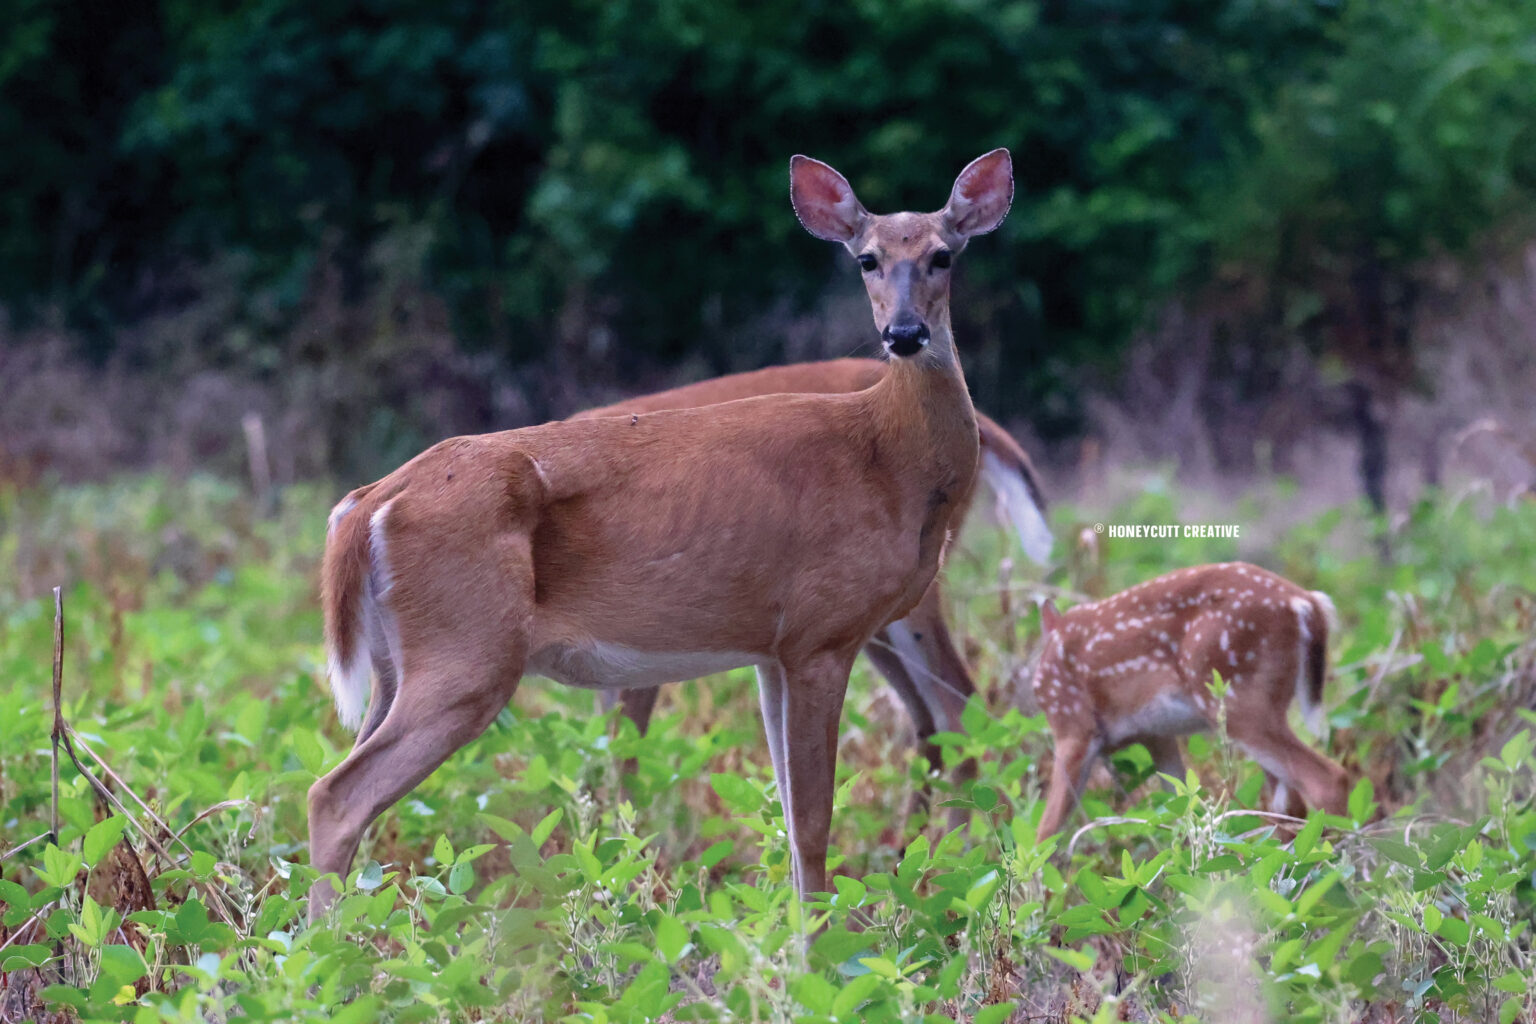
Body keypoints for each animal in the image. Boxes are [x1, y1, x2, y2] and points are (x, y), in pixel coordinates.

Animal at [1029, 562, 1351, 839]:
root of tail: (1307, 603)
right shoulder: (1156, 734)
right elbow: (1179, 807)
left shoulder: (1073, 725)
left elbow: (1045, 831)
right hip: (1260, 703)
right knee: (1287, 804)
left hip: (1234, 696)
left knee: (1328, 780)